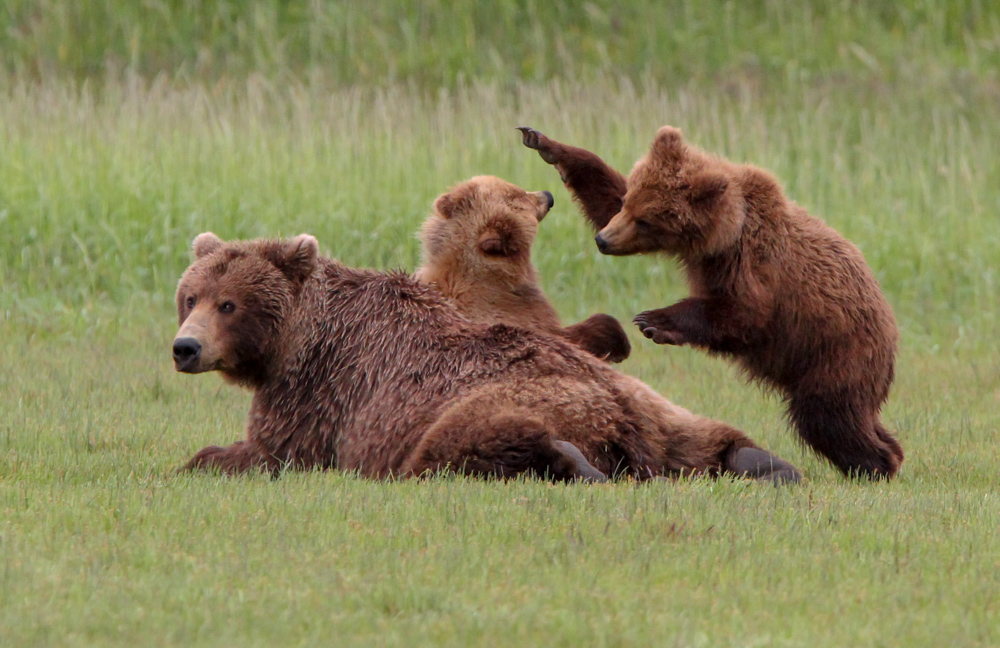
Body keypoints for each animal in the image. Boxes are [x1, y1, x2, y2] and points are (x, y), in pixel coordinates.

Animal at [172, 232, 801, 484]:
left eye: (229, 303)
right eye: (189, 296)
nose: (185, 347)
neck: (299, 341)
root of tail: (613, 419)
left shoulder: (319, 394)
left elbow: (272, 450)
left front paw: (202, 458)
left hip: (488, 402)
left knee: (459, 444)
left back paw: (573, 461)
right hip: (651, 404)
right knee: (703, 437)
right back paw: (768, 463)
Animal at [518, 125, 904, 480]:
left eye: (646, 220)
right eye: (630, 205)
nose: (603, 239)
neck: (726, 235)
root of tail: (890, 319)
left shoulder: (755, 268)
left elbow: (741, 314)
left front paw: (654, 321)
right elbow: (604, 194)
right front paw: (548, 145)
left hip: (835, 351)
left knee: (829, 416)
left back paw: (876, 464)